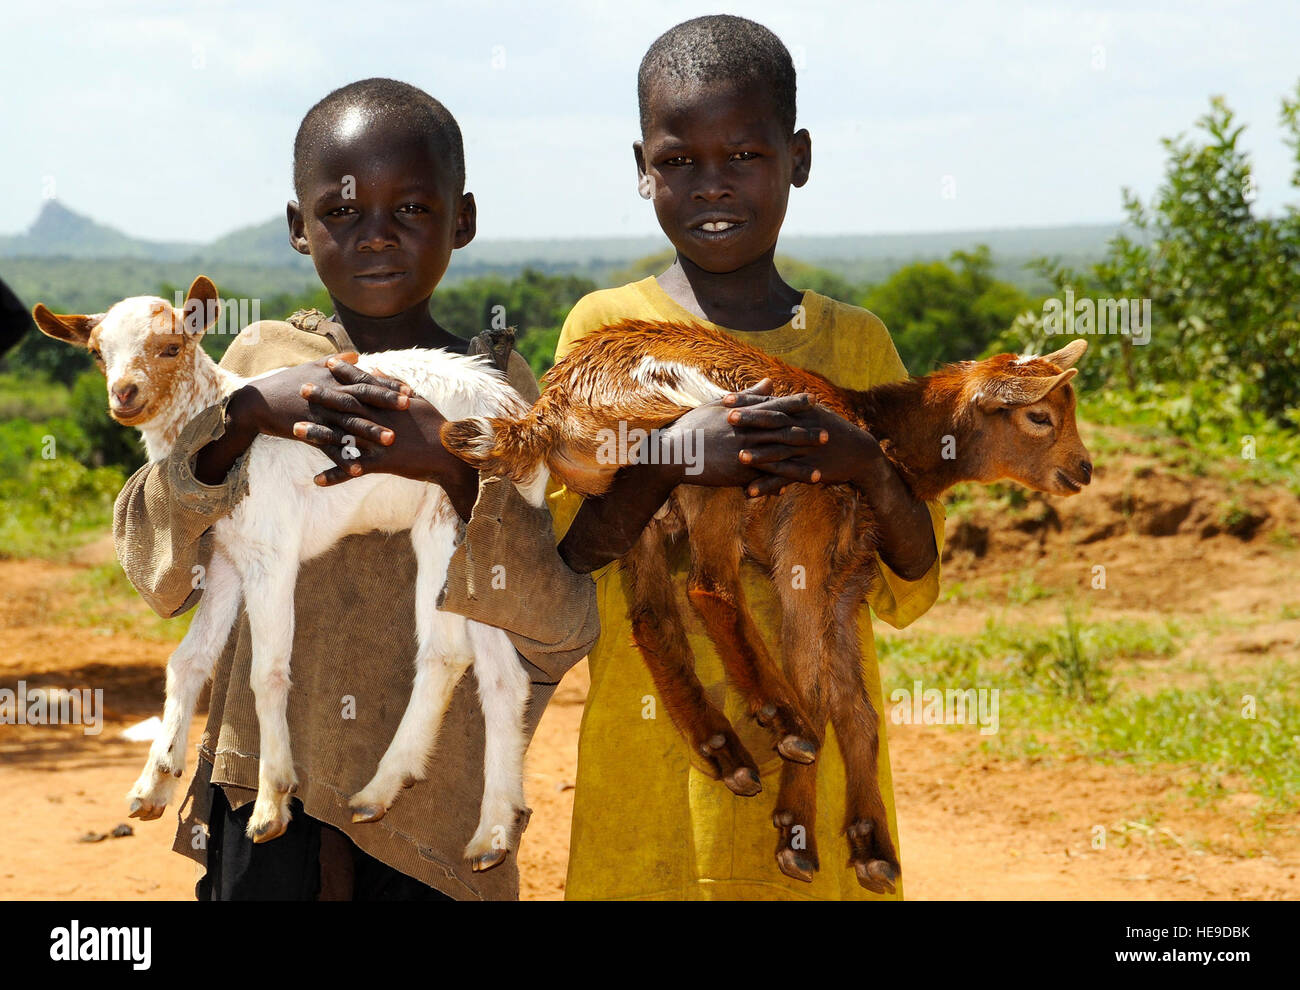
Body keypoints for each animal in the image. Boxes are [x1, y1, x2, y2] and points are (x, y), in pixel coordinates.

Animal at [33, 276, 548, 871]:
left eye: (171, 346)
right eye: (98, 353)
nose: (125, 394)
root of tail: (519, 418)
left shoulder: (272, 550)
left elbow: (267, 671)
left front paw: (271, 803)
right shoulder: (227, 557)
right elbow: (188, 660)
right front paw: (154, 783)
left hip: (445, 516)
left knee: (446, 653)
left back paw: (380, 790)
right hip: (482, 545)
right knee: (505, 676)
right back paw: (493, 833)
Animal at [442, 319, 1092, 892]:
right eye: (1039, 416)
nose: (1083, 470)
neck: (878, 432)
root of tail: (551, 408)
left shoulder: (847, 581)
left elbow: (857, 709)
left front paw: (872, 846)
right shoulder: (807, 530)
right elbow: (815, 684)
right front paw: (797, 830)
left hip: (640, 510)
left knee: (654, 620)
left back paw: (724, 749)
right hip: (714, 458)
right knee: (710, 590)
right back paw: (782, 721)